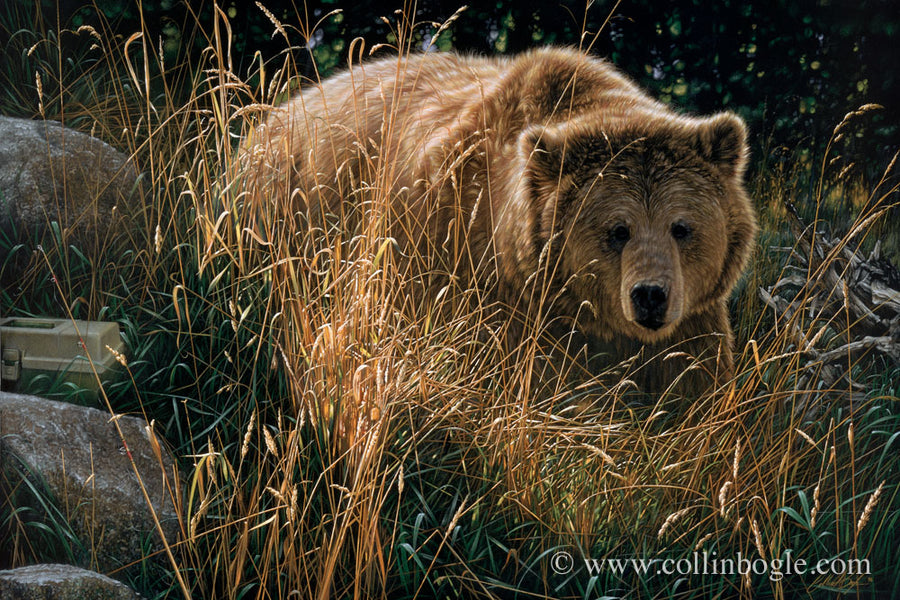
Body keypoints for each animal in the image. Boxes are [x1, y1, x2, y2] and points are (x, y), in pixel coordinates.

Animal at [239, 47, 757, 392]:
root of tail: (267, 120)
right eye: (617, 230)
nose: (650, 295)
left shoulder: (691, 323)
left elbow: (693, 391)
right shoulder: (474, 277)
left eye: (681, 226)